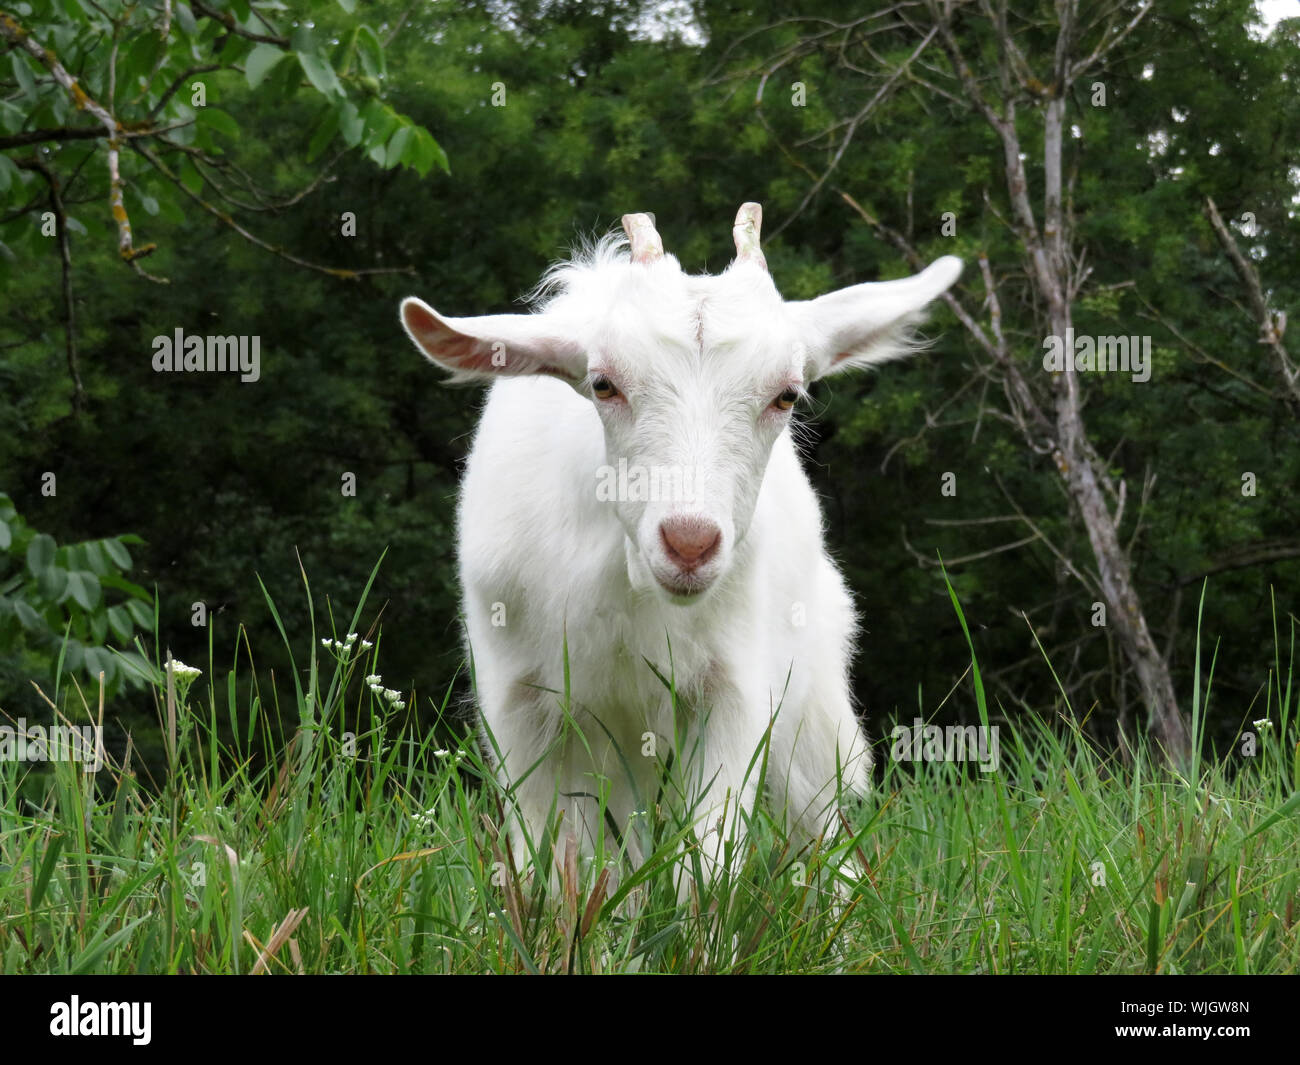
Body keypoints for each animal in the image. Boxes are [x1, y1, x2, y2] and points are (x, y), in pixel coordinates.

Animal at [400, 205, 961, 889]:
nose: (690, 542)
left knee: (819, 831)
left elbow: (710, 860)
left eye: (786, 394)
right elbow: (551, 864)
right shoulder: (518, 702)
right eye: (603, 384)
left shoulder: (734, 688)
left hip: (810, 703)